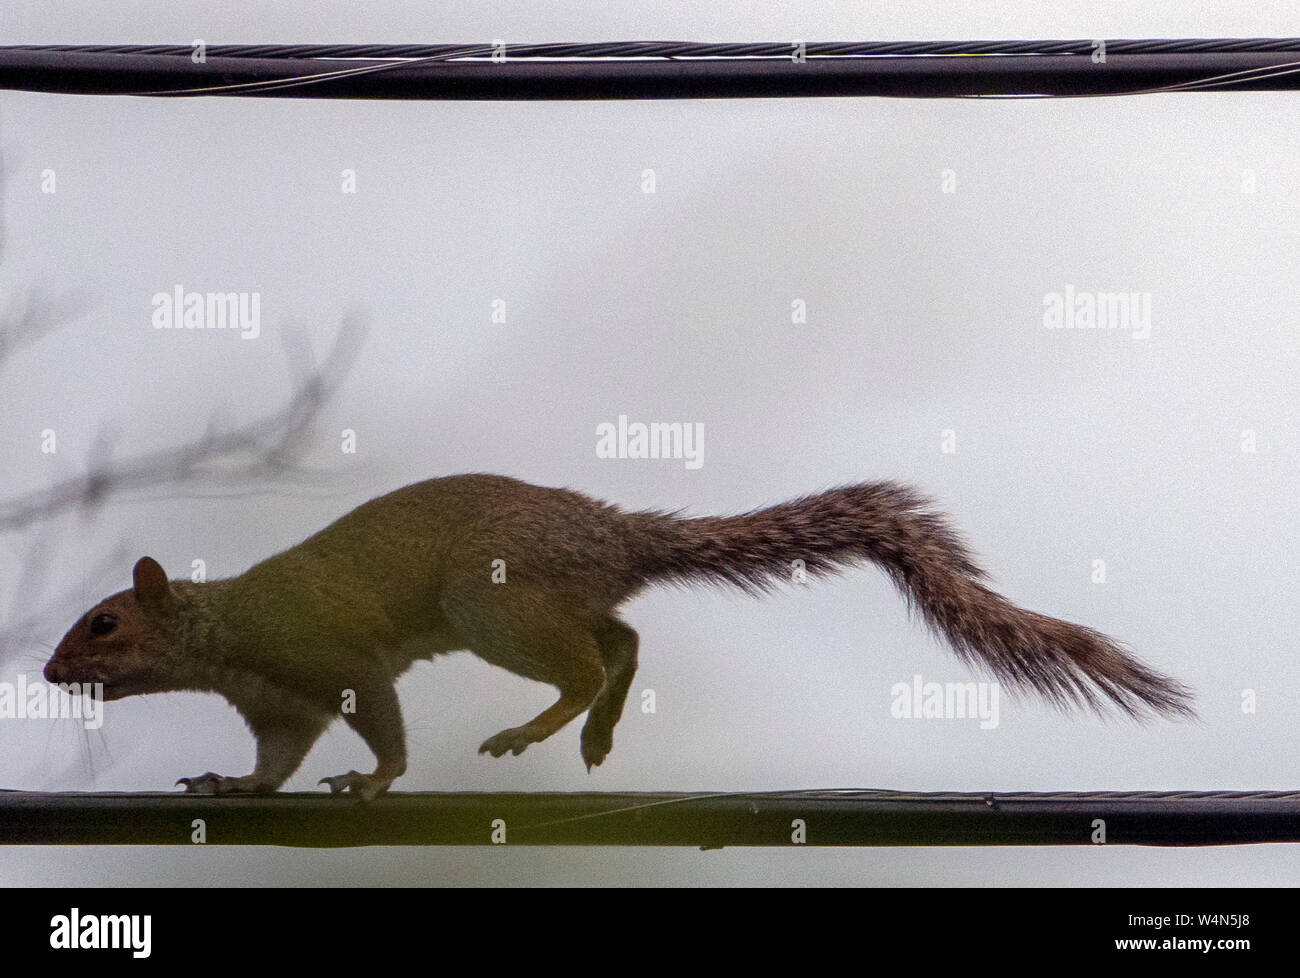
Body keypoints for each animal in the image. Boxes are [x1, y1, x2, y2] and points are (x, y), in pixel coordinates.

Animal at [45, 473, 1194, 799]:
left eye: (105, 622)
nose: (52, 673)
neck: (227, 627)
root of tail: (611, 532)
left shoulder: (336, 660)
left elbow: (381, 723)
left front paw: (374, 784)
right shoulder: (277, 704)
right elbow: (274, 760)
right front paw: (232, 787)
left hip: (493, 606)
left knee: (591, 657)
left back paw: (544, 730)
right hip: (542, 603)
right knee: (628, 640)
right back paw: (595, 734)